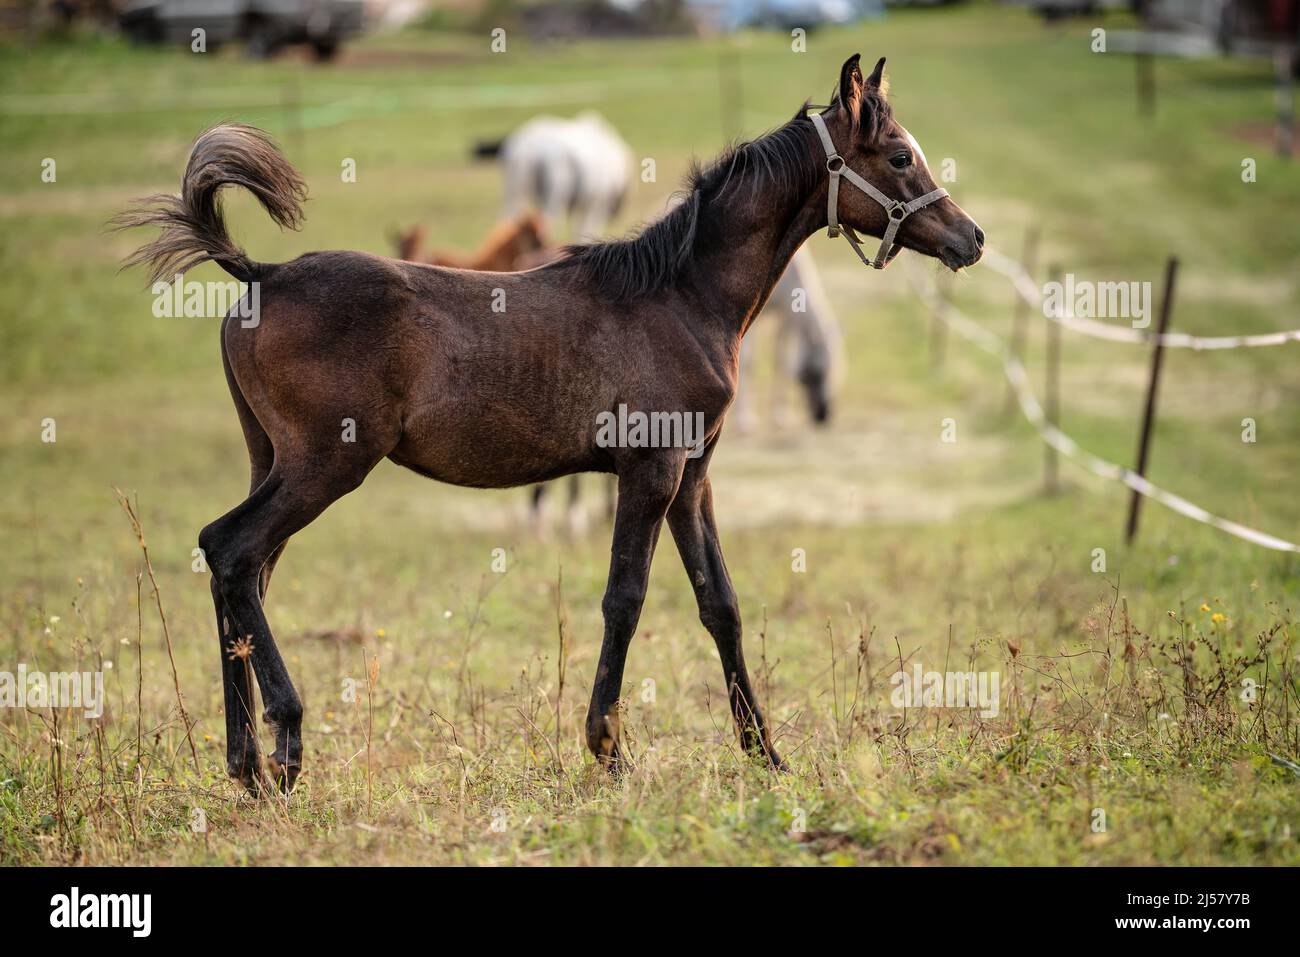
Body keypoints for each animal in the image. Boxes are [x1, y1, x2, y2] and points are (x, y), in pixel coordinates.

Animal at [475, 111, 633, 240]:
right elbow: (585, 230)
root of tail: (528, 146)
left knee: (506, 220)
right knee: (546, 223)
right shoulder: (595, 203)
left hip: (514, 189)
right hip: (554, 193)